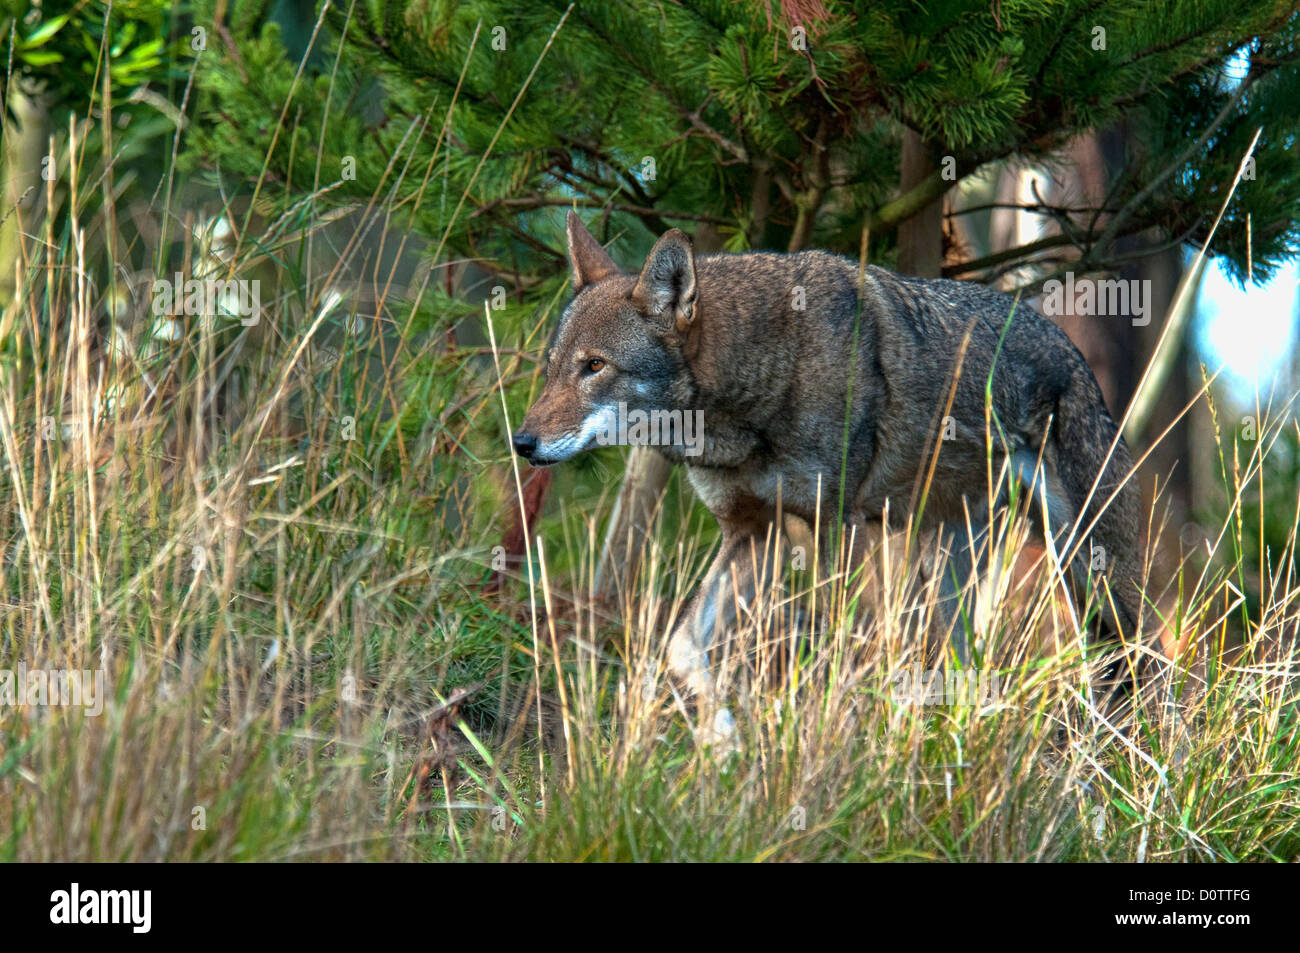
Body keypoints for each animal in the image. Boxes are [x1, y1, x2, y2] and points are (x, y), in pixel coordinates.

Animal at [514, 212, 1146, 742]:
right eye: (553, 369)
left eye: (595, 367)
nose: (521, 443)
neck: (766, 376)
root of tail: (1072, 351)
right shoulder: (753, 531)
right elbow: (682, 648)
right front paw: (724, 741)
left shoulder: (837, 523)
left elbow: (838, 655)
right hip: (947, 573)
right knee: (968, 668)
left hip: (1093, 577)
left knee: (1137, 670)